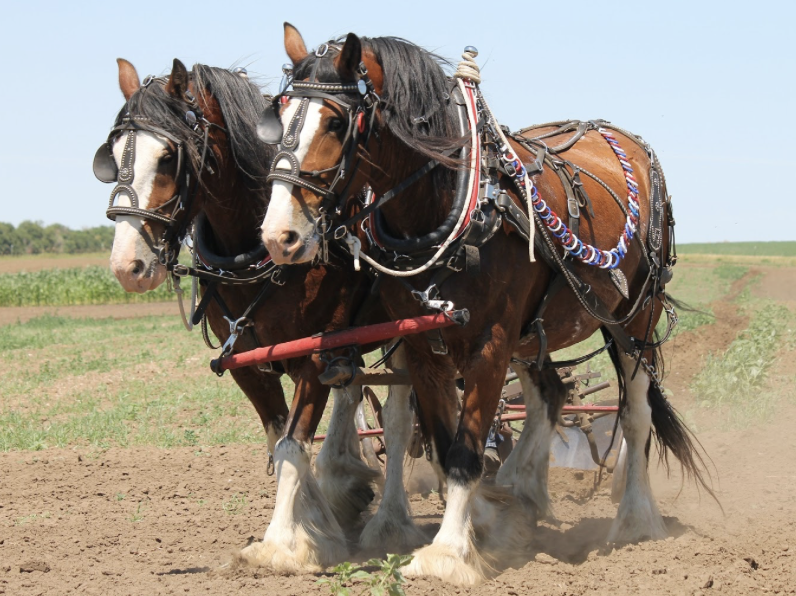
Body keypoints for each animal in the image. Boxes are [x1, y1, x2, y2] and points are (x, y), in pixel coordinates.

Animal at [94, 58, 424, 571]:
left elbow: (292, 443)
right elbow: (279, 440)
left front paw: (285, 542)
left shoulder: (314, 354)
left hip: (404, 331)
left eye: (168, 157)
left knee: (396, 417)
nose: (127, 266)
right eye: (112, 154)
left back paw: (389, 522)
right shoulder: (247, 363)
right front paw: (317, 518)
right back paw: (344, 482)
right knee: (351, 395)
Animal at [258, 25, 713, 584]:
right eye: (279, 115)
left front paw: (448, 553)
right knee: (549, 394)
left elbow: (466, 451)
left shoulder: (491, 342)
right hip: (536, 330)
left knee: (635, 413)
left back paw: (635, 519)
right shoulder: (424, 346)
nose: (279, 235)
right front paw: (485, 527)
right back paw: (523, 491)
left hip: (634, 318)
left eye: (338, 121)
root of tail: (621, 137)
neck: (453, 206)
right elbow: (442, 442)